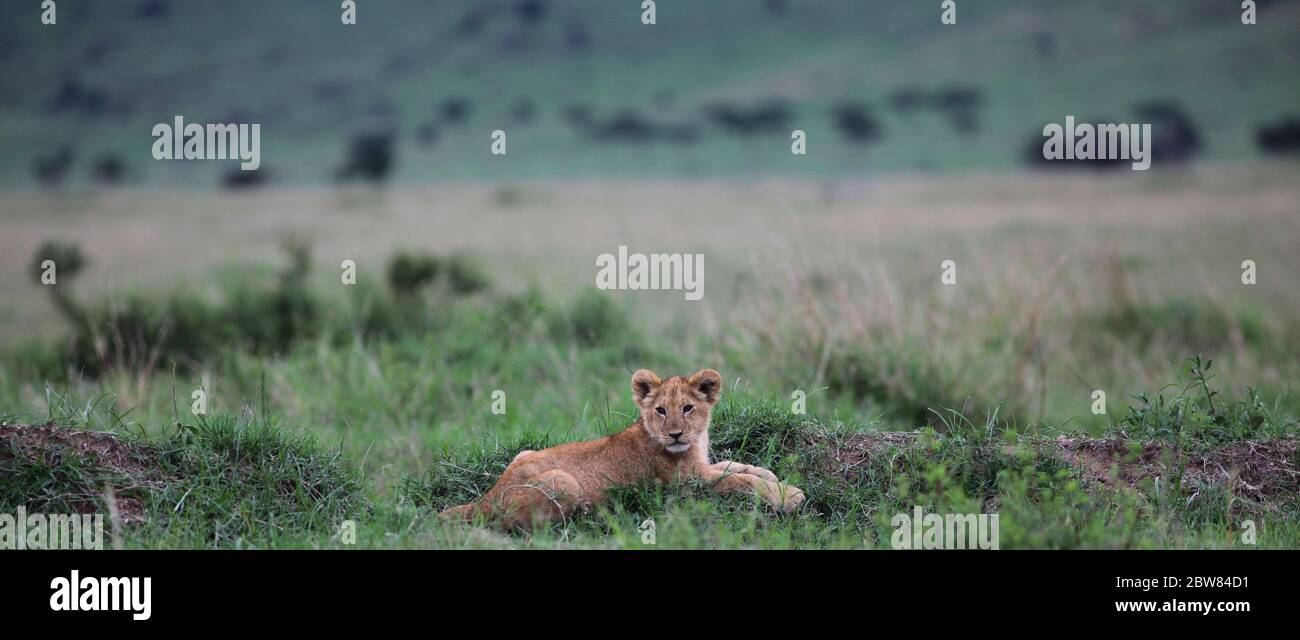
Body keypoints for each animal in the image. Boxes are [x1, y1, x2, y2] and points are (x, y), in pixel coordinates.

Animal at [439, 368, 805, 529]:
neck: (694, 442)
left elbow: (735, 466)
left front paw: (771, 475)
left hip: (522, 455)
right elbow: (737, 480)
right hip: (562, 481)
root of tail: (485, 498)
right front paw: (788, 496)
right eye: (661, 410)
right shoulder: (687, 484)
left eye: (687, 408)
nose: (675, 434)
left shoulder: (701, 467)